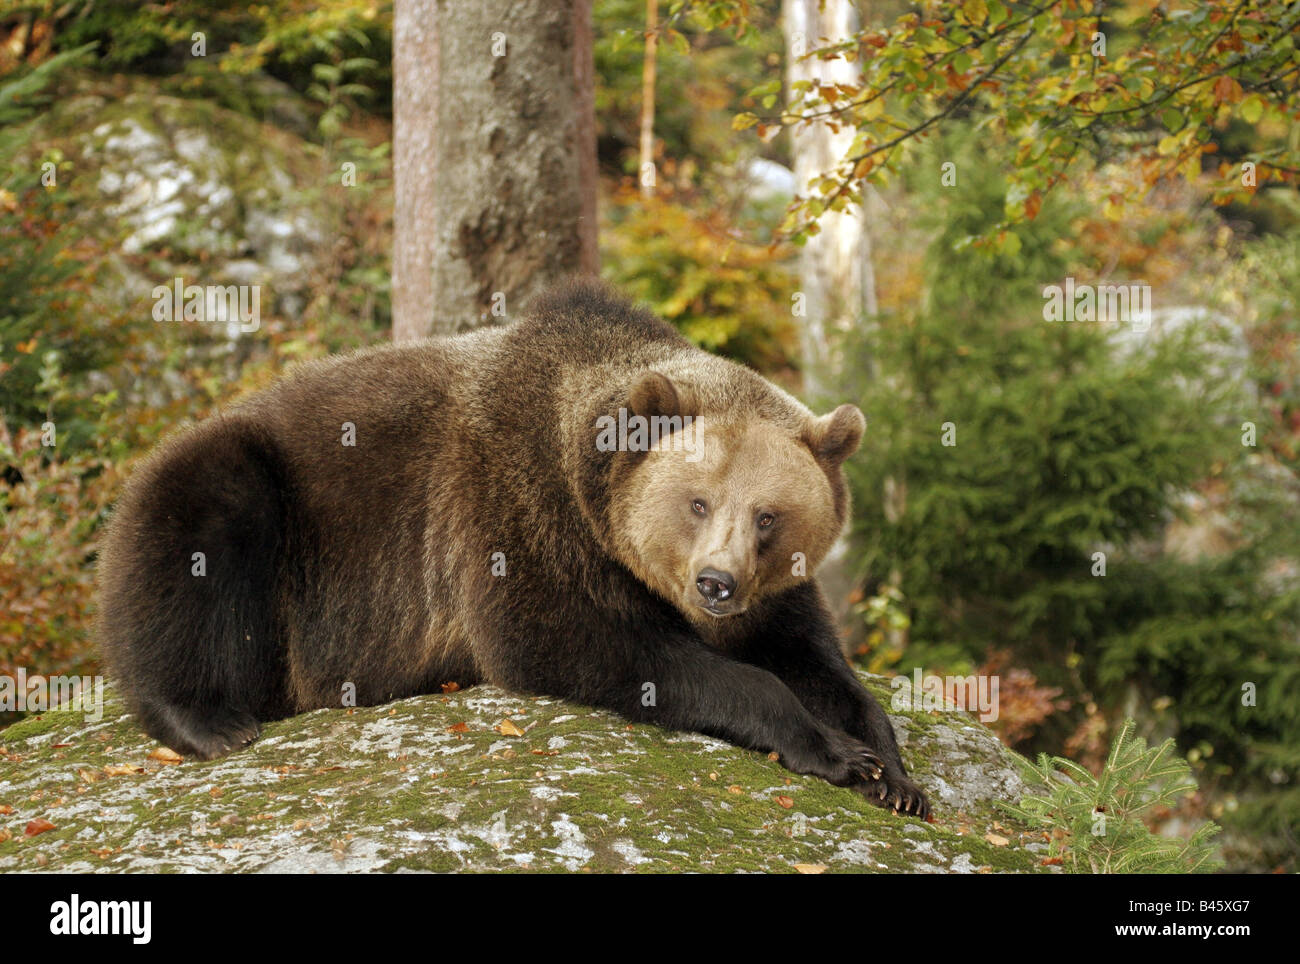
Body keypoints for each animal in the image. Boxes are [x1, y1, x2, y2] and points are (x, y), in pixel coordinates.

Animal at [97, 279, 929, 818]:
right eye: (698, 501)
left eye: (768, 516)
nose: (715, 584)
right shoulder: (517, 522)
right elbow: (594, 648)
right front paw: (832, 750)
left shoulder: (775, 595)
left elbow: (819, 662)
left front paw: (891, 771)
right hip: (263, 494)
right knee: (196, 530)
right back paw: (208, 719)